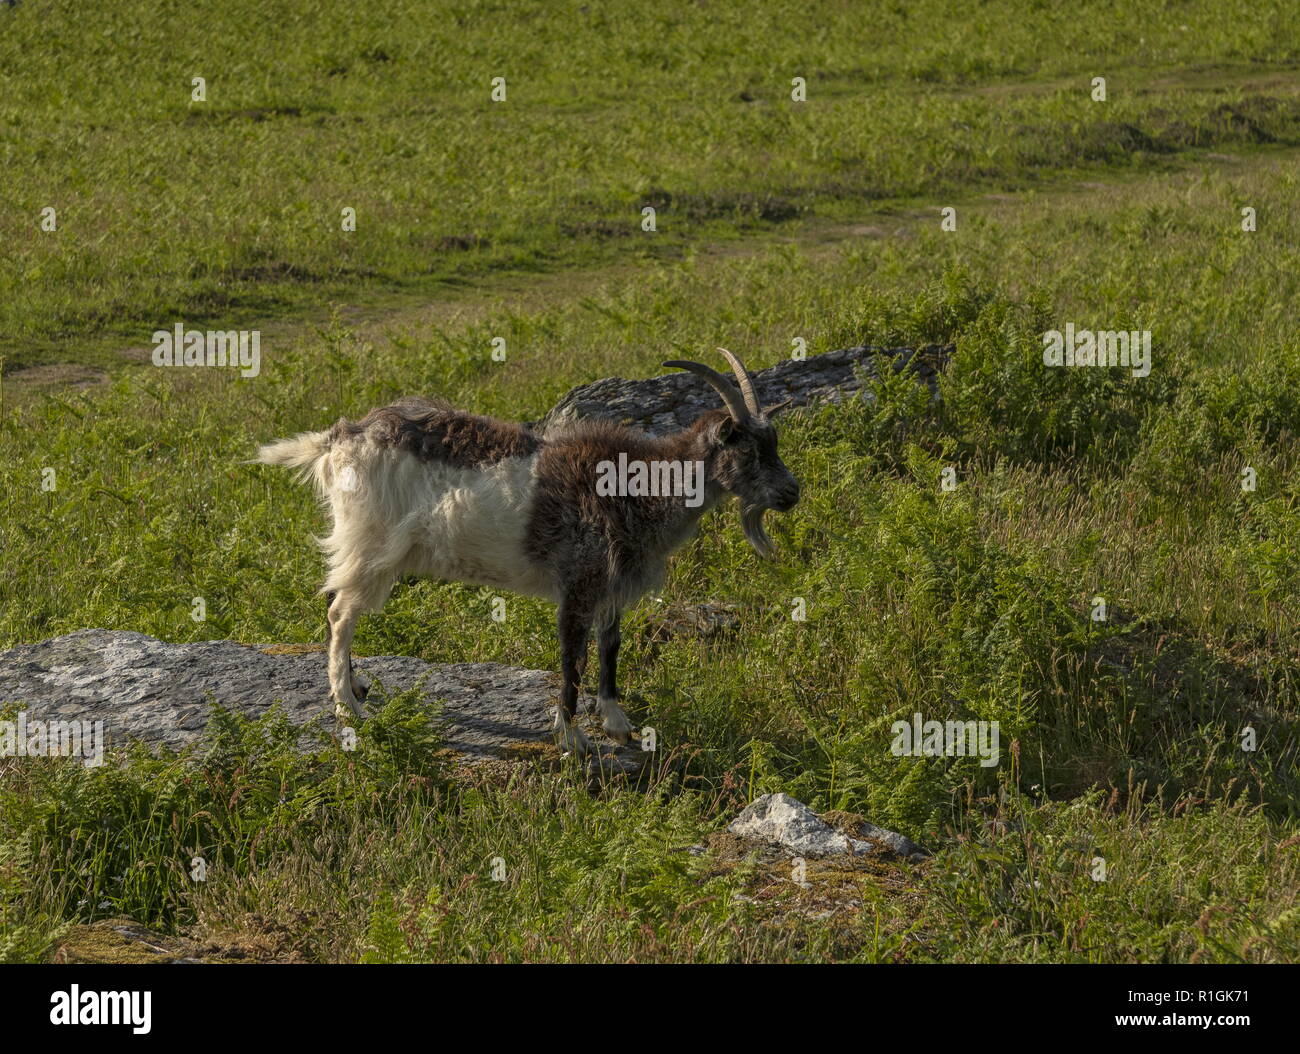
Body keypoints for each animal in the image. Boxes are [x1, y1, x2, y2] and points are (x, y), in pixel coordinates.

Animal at [255, 348, 800, 755]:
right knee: (341, 613)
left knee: (333, 602)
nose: (792, 493)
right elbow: (572, 656)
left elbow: (610, 646)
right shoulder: (578, 582)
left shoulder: (612, 583)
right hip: (371, 543)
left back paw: (358, 686)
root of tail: (338, 439)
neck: (639, 483)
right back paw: (349, 708)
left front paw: (617, 720)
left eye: (773, 444)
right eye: (749, 451)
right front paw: (572, 736)